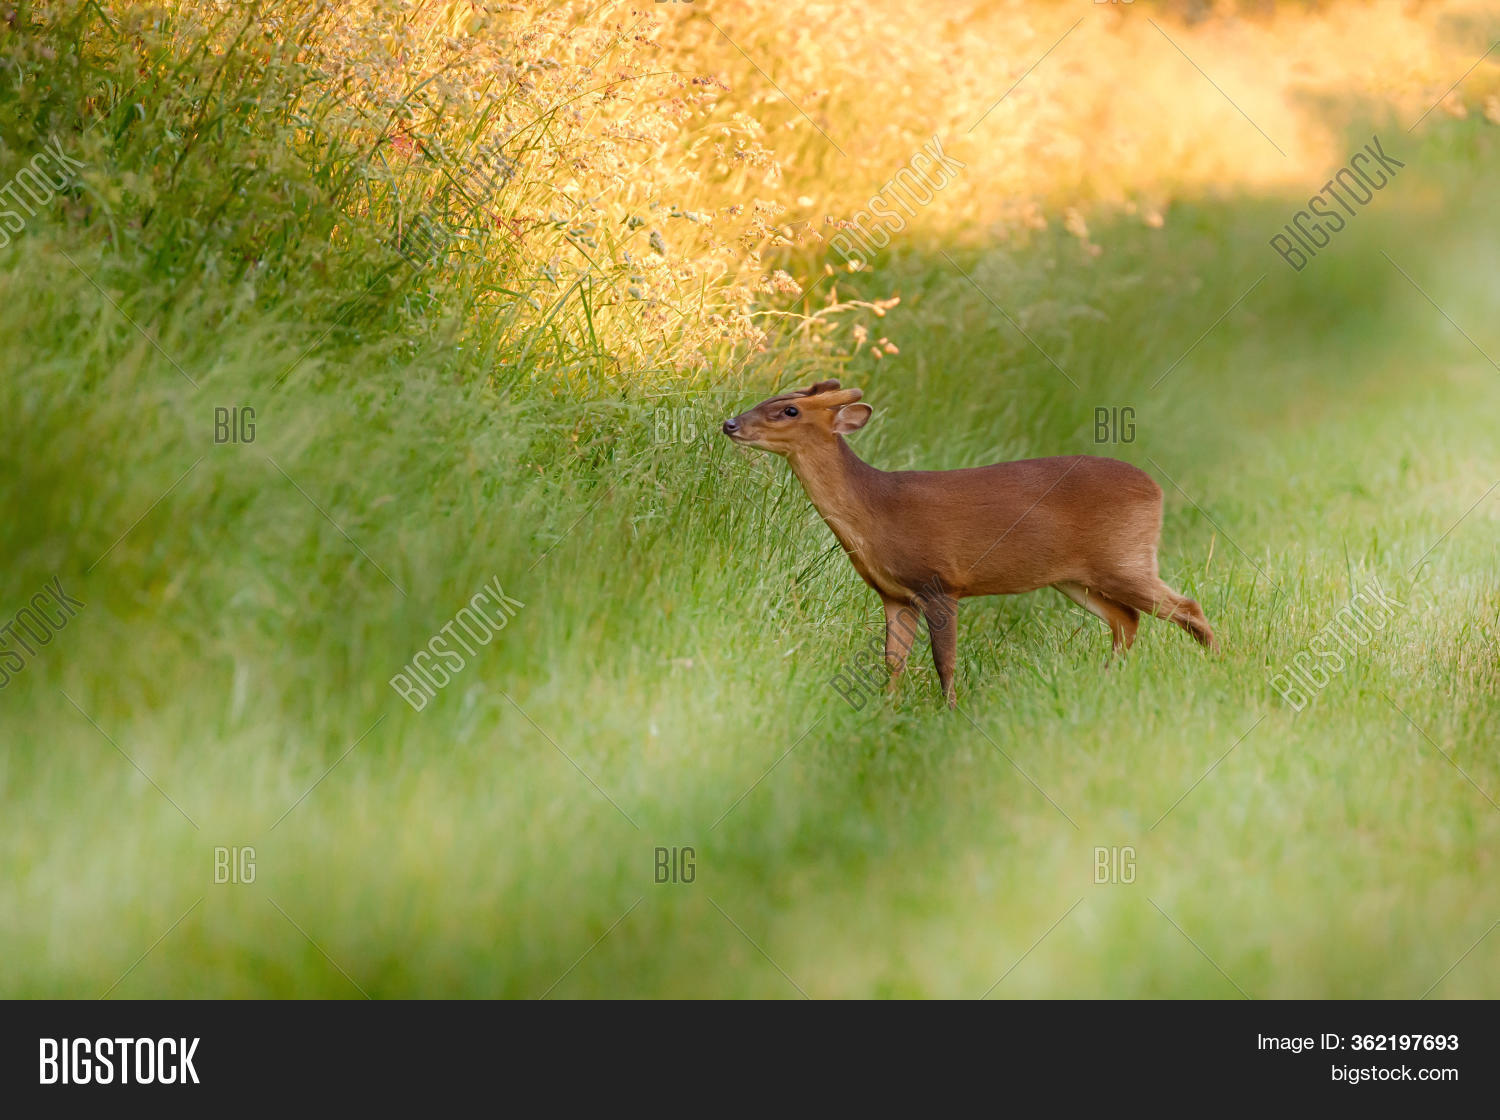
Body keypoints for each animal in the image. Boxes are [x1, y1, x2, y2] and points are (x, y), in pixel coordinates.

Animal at [721, 379, 1217, 707]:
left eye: (789, 411)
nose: (729, 424)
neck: (876, 510)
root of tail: (1156, 490)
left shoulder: (941, 582)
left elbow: (945, 660)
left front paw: (949, 711)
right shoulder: (893, 594)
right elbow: (893, 659)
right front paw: (887, 709)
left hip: (1124, 558)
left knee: (1185, 607)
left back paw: (1222, 665)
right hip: (1077, 578)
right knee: (1127, 620)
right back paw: (1110, 680)